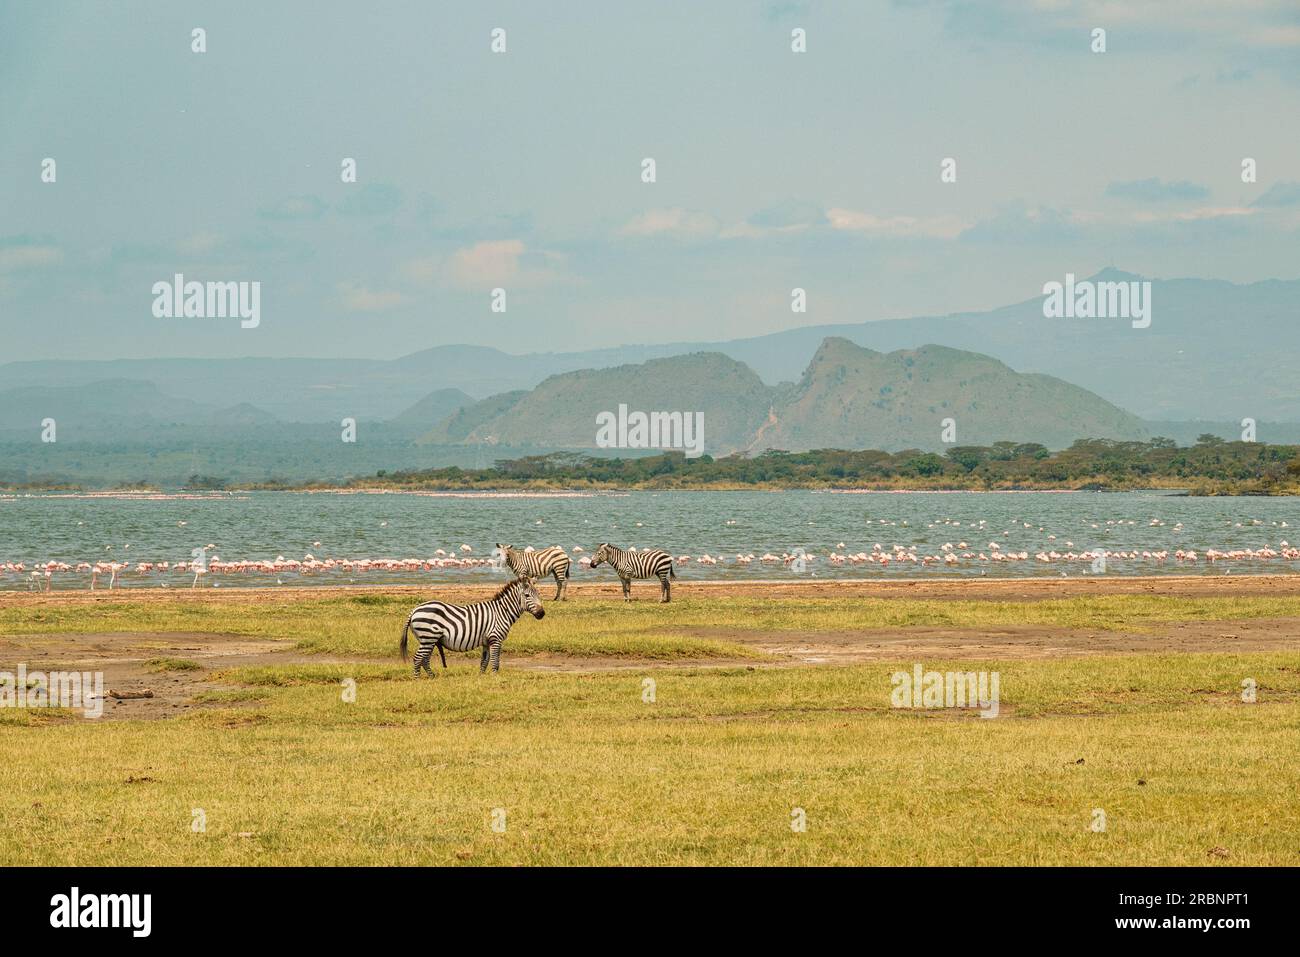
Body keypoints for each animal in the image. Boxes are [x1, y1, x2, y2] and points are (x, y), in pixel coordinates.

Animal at [400, 576, 545, 676]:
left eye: (538, 594)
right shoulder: (495, 638)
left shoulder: (486, 641)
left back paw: (432, 677)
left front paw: (482, 677)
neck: (502, 611)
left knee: (424, 659)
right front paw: (495, 677)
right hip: (428, 638)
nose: (542, 613)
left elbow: (484, 662)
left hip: (429, 640)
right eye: (527, 595)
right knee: (418, 658)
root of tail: (414, 610)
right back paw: (417, 679)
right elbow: (495, 662)